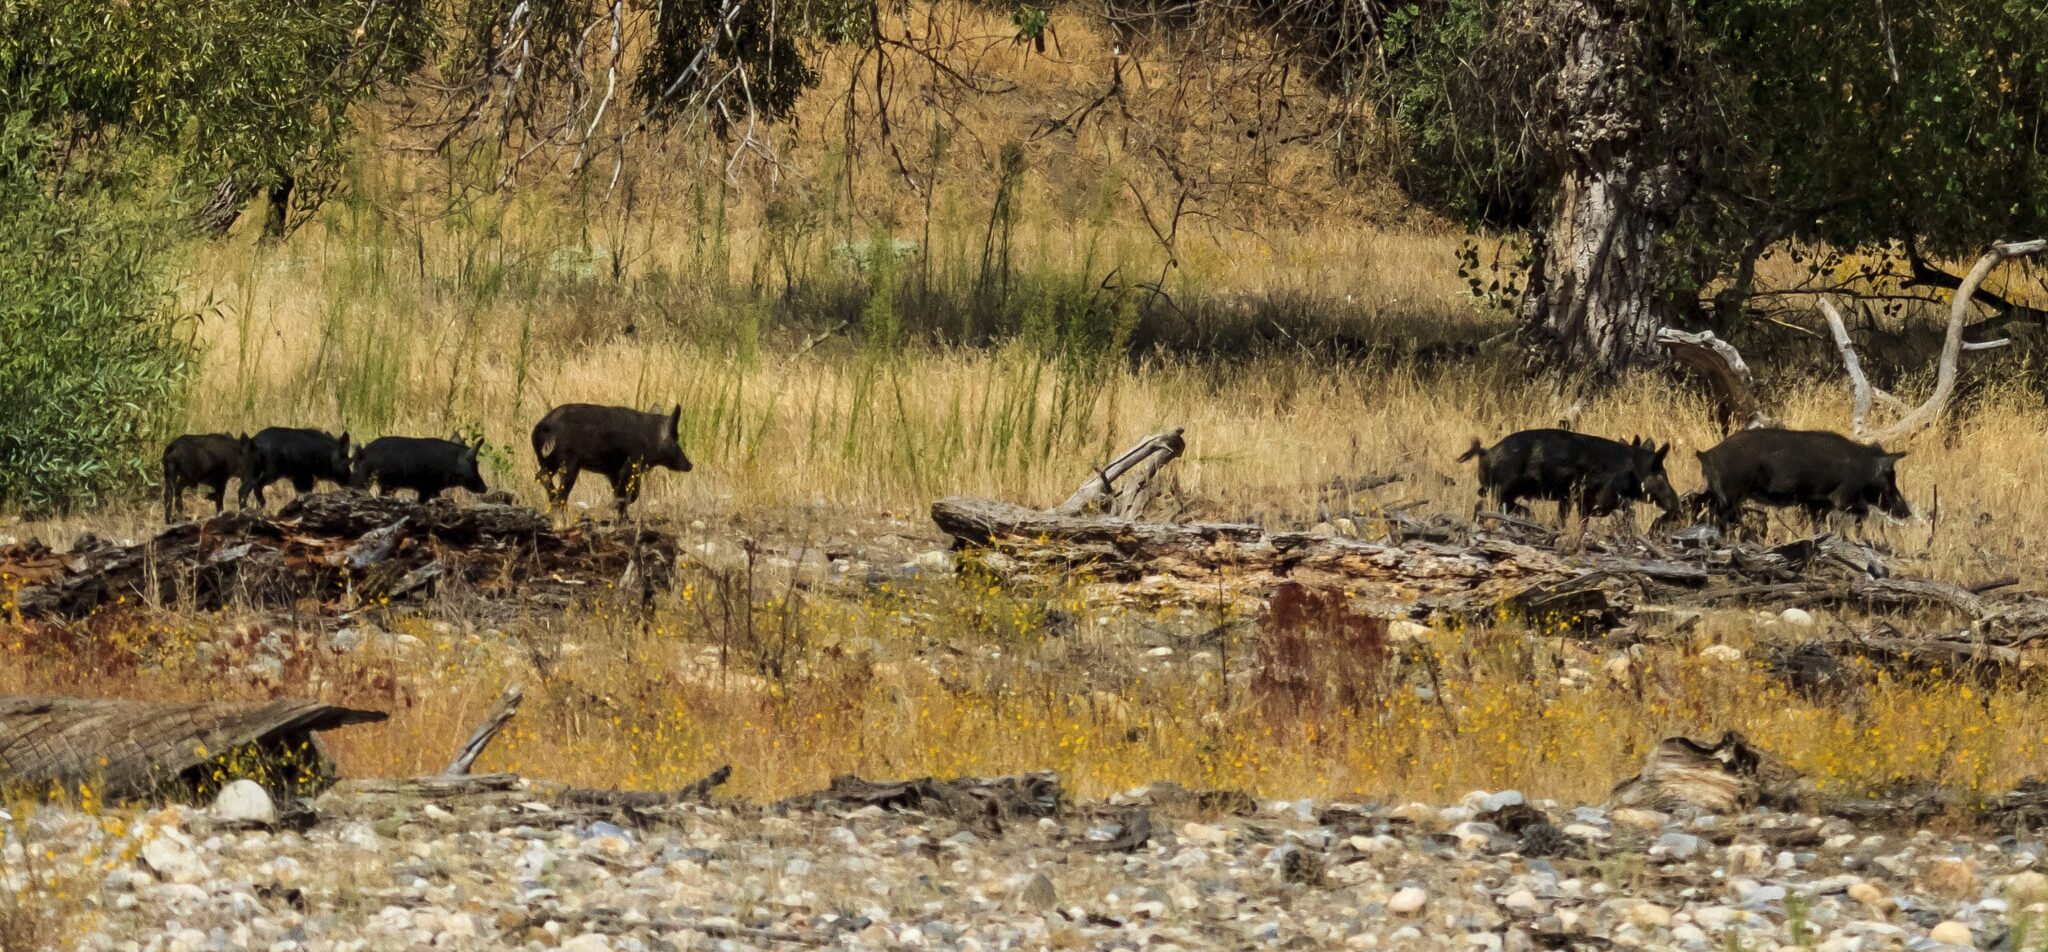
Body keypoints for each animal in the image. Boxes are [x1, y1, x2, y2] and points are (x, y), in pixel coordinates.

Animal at [350, 435, 488, 502]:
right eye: (474, 462)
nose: (485, 488)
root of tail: (361, 452)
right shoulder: (426, 488)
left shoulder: (434, 489)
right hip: (364, 479)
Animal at [531, 403, 693, 516]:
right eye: (675, 438)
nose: (690, 465)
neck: (651, 438)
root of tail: (546, 428)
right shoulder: (631, 464)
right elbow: (629, 494)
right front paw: (614, 508)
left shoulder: (613, 472)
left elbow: (621, 493)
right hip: (569, 462)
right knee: (561, 491)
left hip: (547, 461)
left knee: (541, 476)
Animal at [1458, 428, 1682, 523]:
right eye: (1662, 474)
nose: (1676, 506)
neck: (1631, 470)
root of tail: (1485, 452)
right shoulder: (1597, 496)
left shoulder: (1571, 498)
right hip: (1501, 489)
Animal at [1695, 428, 1910, 528]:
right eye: (1890, 476)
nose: (1906, 512)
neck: (1864, 469)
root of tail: (1706, 454)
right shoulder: (1842, 498)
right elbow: (1863, 511)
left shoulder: (1815, 504)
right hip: (1729, 496)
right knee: (1716, 514)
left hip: (1715, 491)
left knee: (1699, 502)